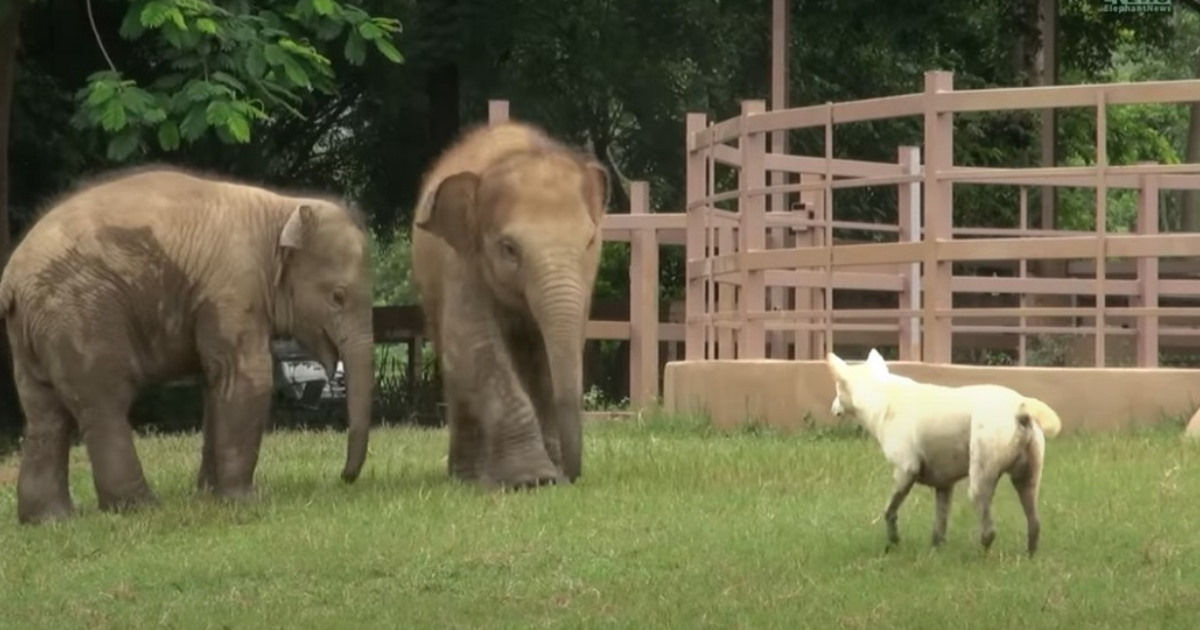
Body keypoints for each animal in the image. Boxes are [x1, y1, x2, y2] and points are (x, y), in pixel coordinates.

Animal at [0, 165, 374, 524]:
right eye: (338, 296)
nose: (343, 478)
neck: (283, 207)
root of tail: (12, 282)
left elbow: (217, 383)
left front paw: (209, 496)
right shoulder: (233, 288)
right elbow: (247, 377)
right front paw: (243, 501)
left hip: (38, 332)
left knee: (45, 414)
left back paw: (49, 520)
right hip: (81, 316)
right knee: (105, 404)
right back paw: (140, 508)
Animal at [411, 121, 610, 489]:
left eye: (590, 241)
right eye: (509, 249)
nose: (572, 475)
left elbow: (551, 356)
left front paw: (551, 474)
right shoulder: (460, 262)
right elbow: (475, 345)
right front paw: (533, 479)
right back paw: (468, 478)